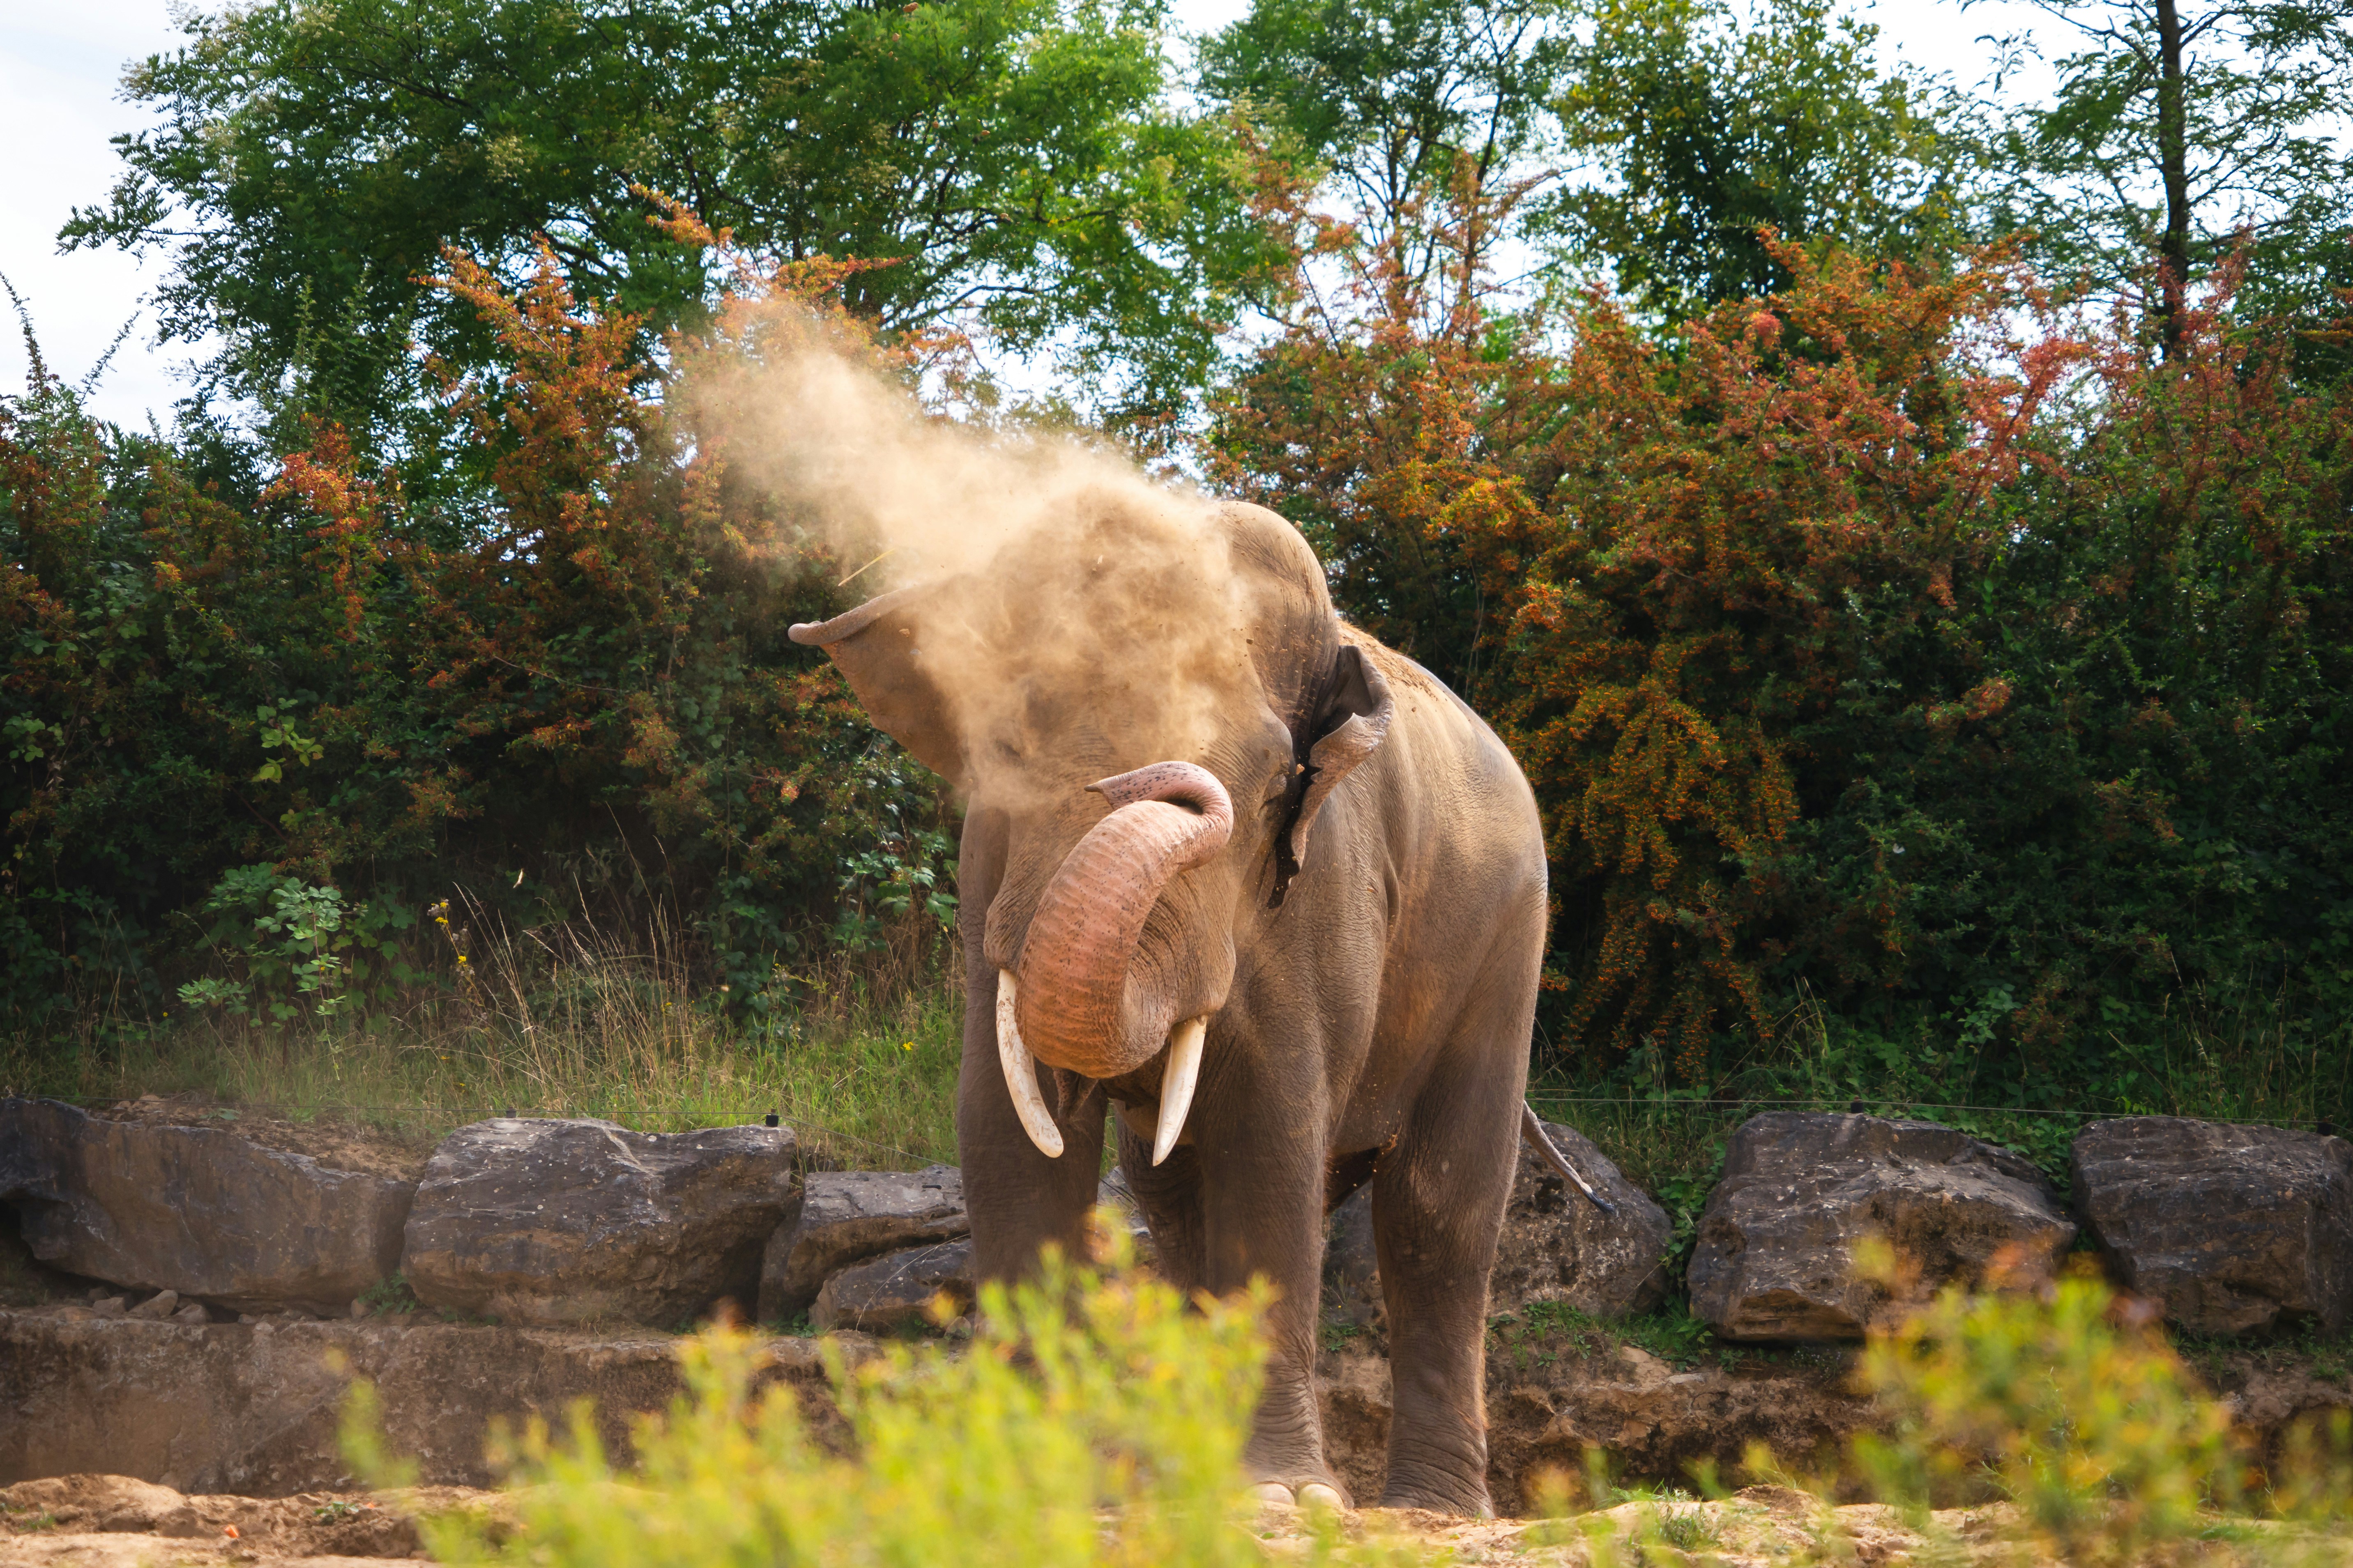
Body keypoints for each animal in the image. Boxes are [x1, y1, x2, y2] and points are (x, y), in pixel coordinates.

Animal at [788, 494, 1550, 1515]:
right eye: (1005, 751)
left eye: (1273, 786)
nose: (1152, 780)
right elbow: (1004, 1131)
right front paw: (1030, 1480)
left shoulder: (1319, 895)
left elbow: (1273, 1132)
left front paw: (1286, 1498)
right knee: (1176, 1199)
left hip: (1507, 945)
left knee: (1439, 1213)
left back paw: (1428, 1509)